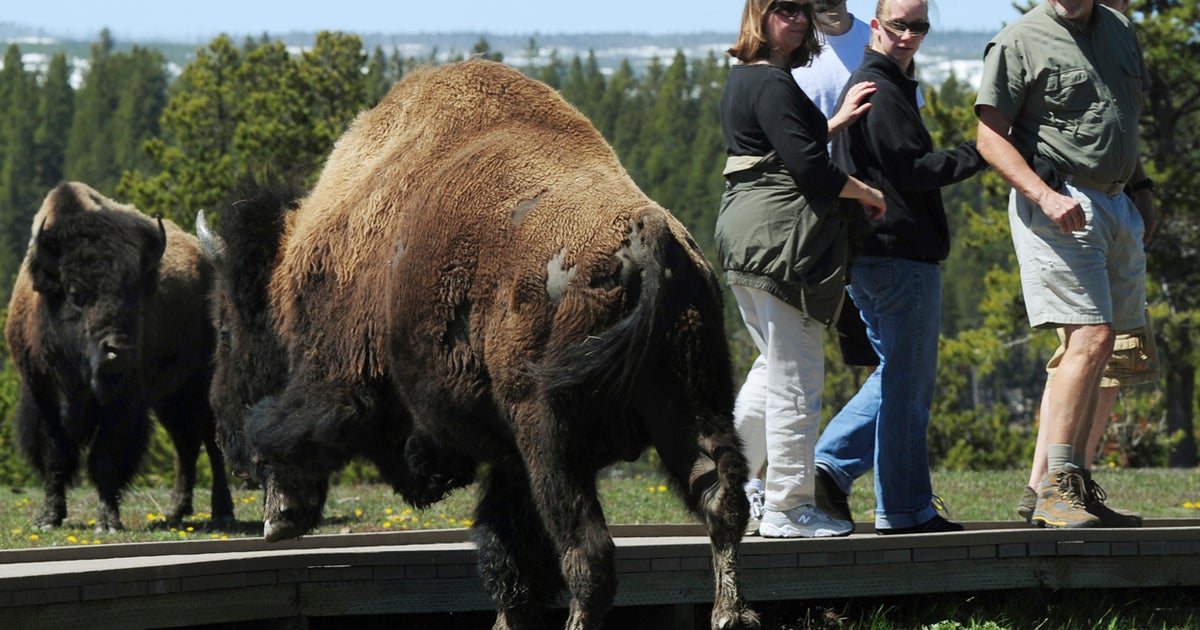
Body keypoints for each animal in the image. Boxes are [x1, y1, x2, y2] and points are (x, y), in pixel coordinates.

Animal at [5, 182, 234, 532]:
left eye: (135, 293)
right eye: (75, 294)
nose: (118, 351)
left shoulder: (124, 403)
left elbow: (106, 459)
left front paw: (108, 521)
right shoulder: (42, 396)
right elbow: (55, 456)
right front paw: (48, 518)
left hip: (199, 386)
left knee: (210, 442)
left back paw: (221, 511)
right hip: (168, 399)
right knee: (185, 445)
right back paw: (176, 511)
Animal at [199, 60, 758, 629]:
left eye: (225, 327)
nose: (225, 435)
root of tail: (645, 235)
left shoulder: (341, 374)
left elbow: (298, 428)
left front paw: (279, 513)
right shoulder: (509, 462)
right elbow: (508, 549)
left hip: (551, 435)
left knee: (587, 552)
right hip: (692, 403)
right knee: (720, 504)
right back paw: (730, 615)